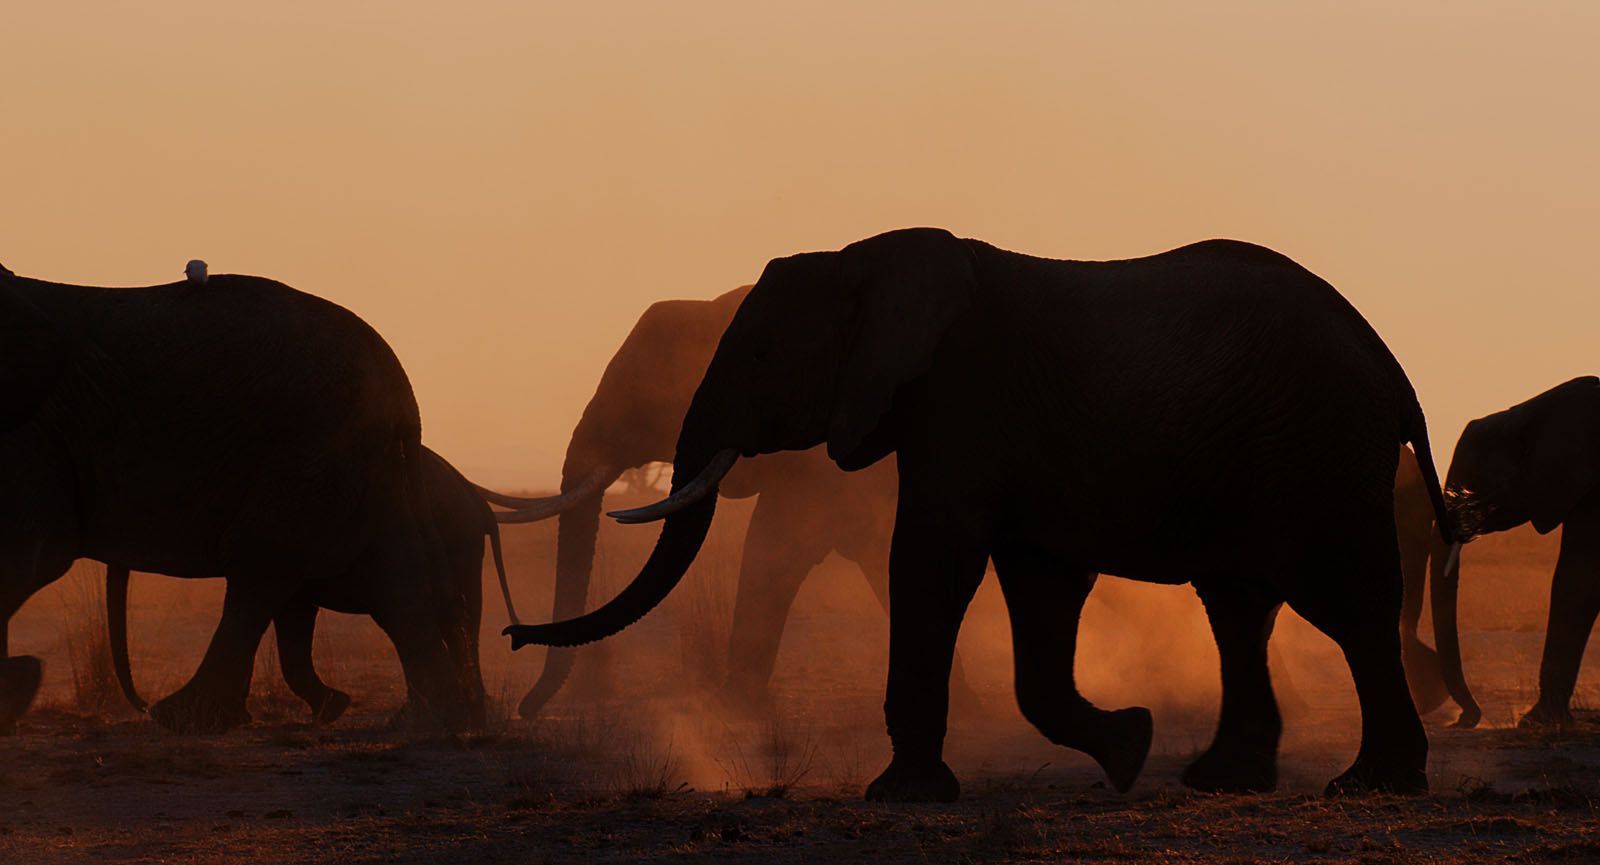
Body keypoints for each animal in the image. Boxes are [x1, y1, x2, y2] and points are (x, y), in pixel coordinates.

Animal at [0, 263, 467, 734]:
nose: (139, 703)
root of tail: (402, 388)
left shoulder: (34, 433)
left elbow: (30, 557)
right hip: (359, 457)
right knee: (392, 573)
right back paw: (421, 720)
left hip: (314, 446)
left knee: (262, 561)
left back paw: (186, 717)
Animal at [104, 446, 515, 727]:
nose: (143, 704)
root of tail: (478, 503)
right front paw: (328, 708)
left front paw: (330, 708)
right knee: (442, 619)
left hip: (457, 542)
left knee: (447, 617)